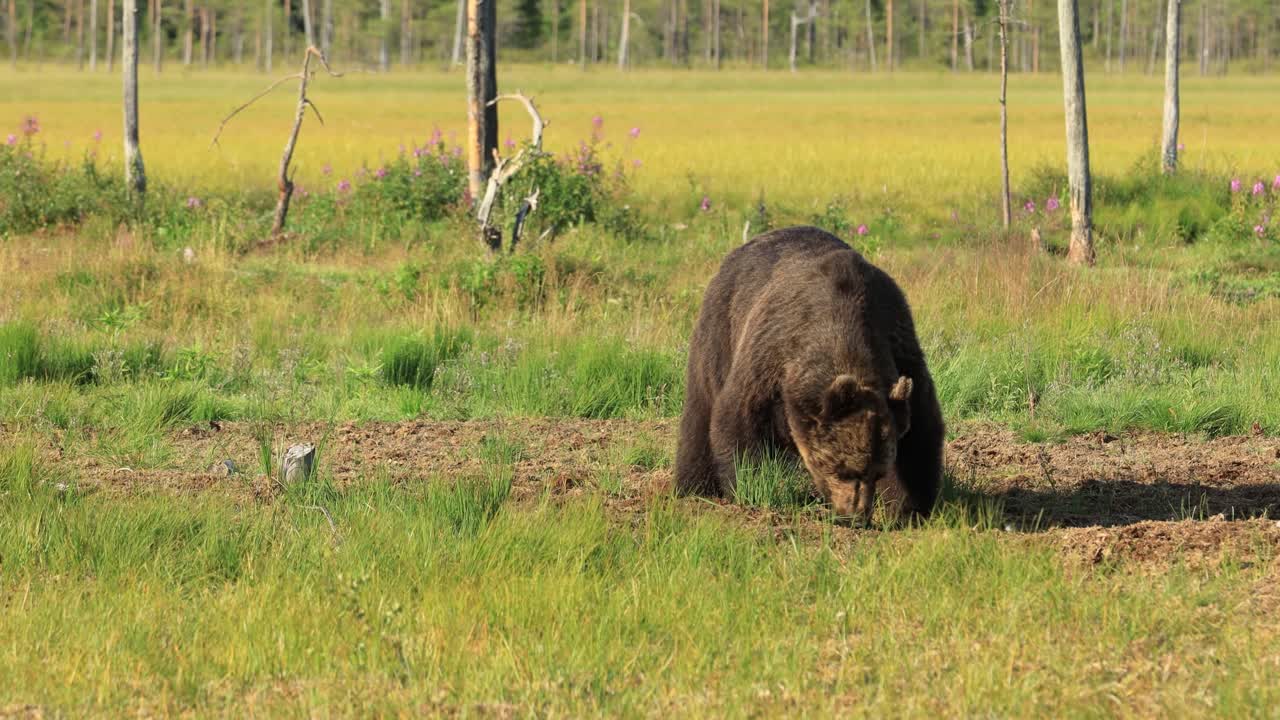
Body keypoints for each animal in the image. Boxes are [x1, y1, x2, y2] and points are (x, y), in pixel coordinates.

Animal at [674, 226, 944, 524]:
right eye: (843, 469)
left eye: (877, 472)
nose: (855, 515)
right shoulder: (772, 352)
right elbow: (738, 418)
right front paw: (751, 487)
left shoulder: (901, 346)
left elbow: (920, 436)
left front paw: (910, 506)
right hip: (721, 327)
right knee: (700, 410)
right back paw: (693, 487)